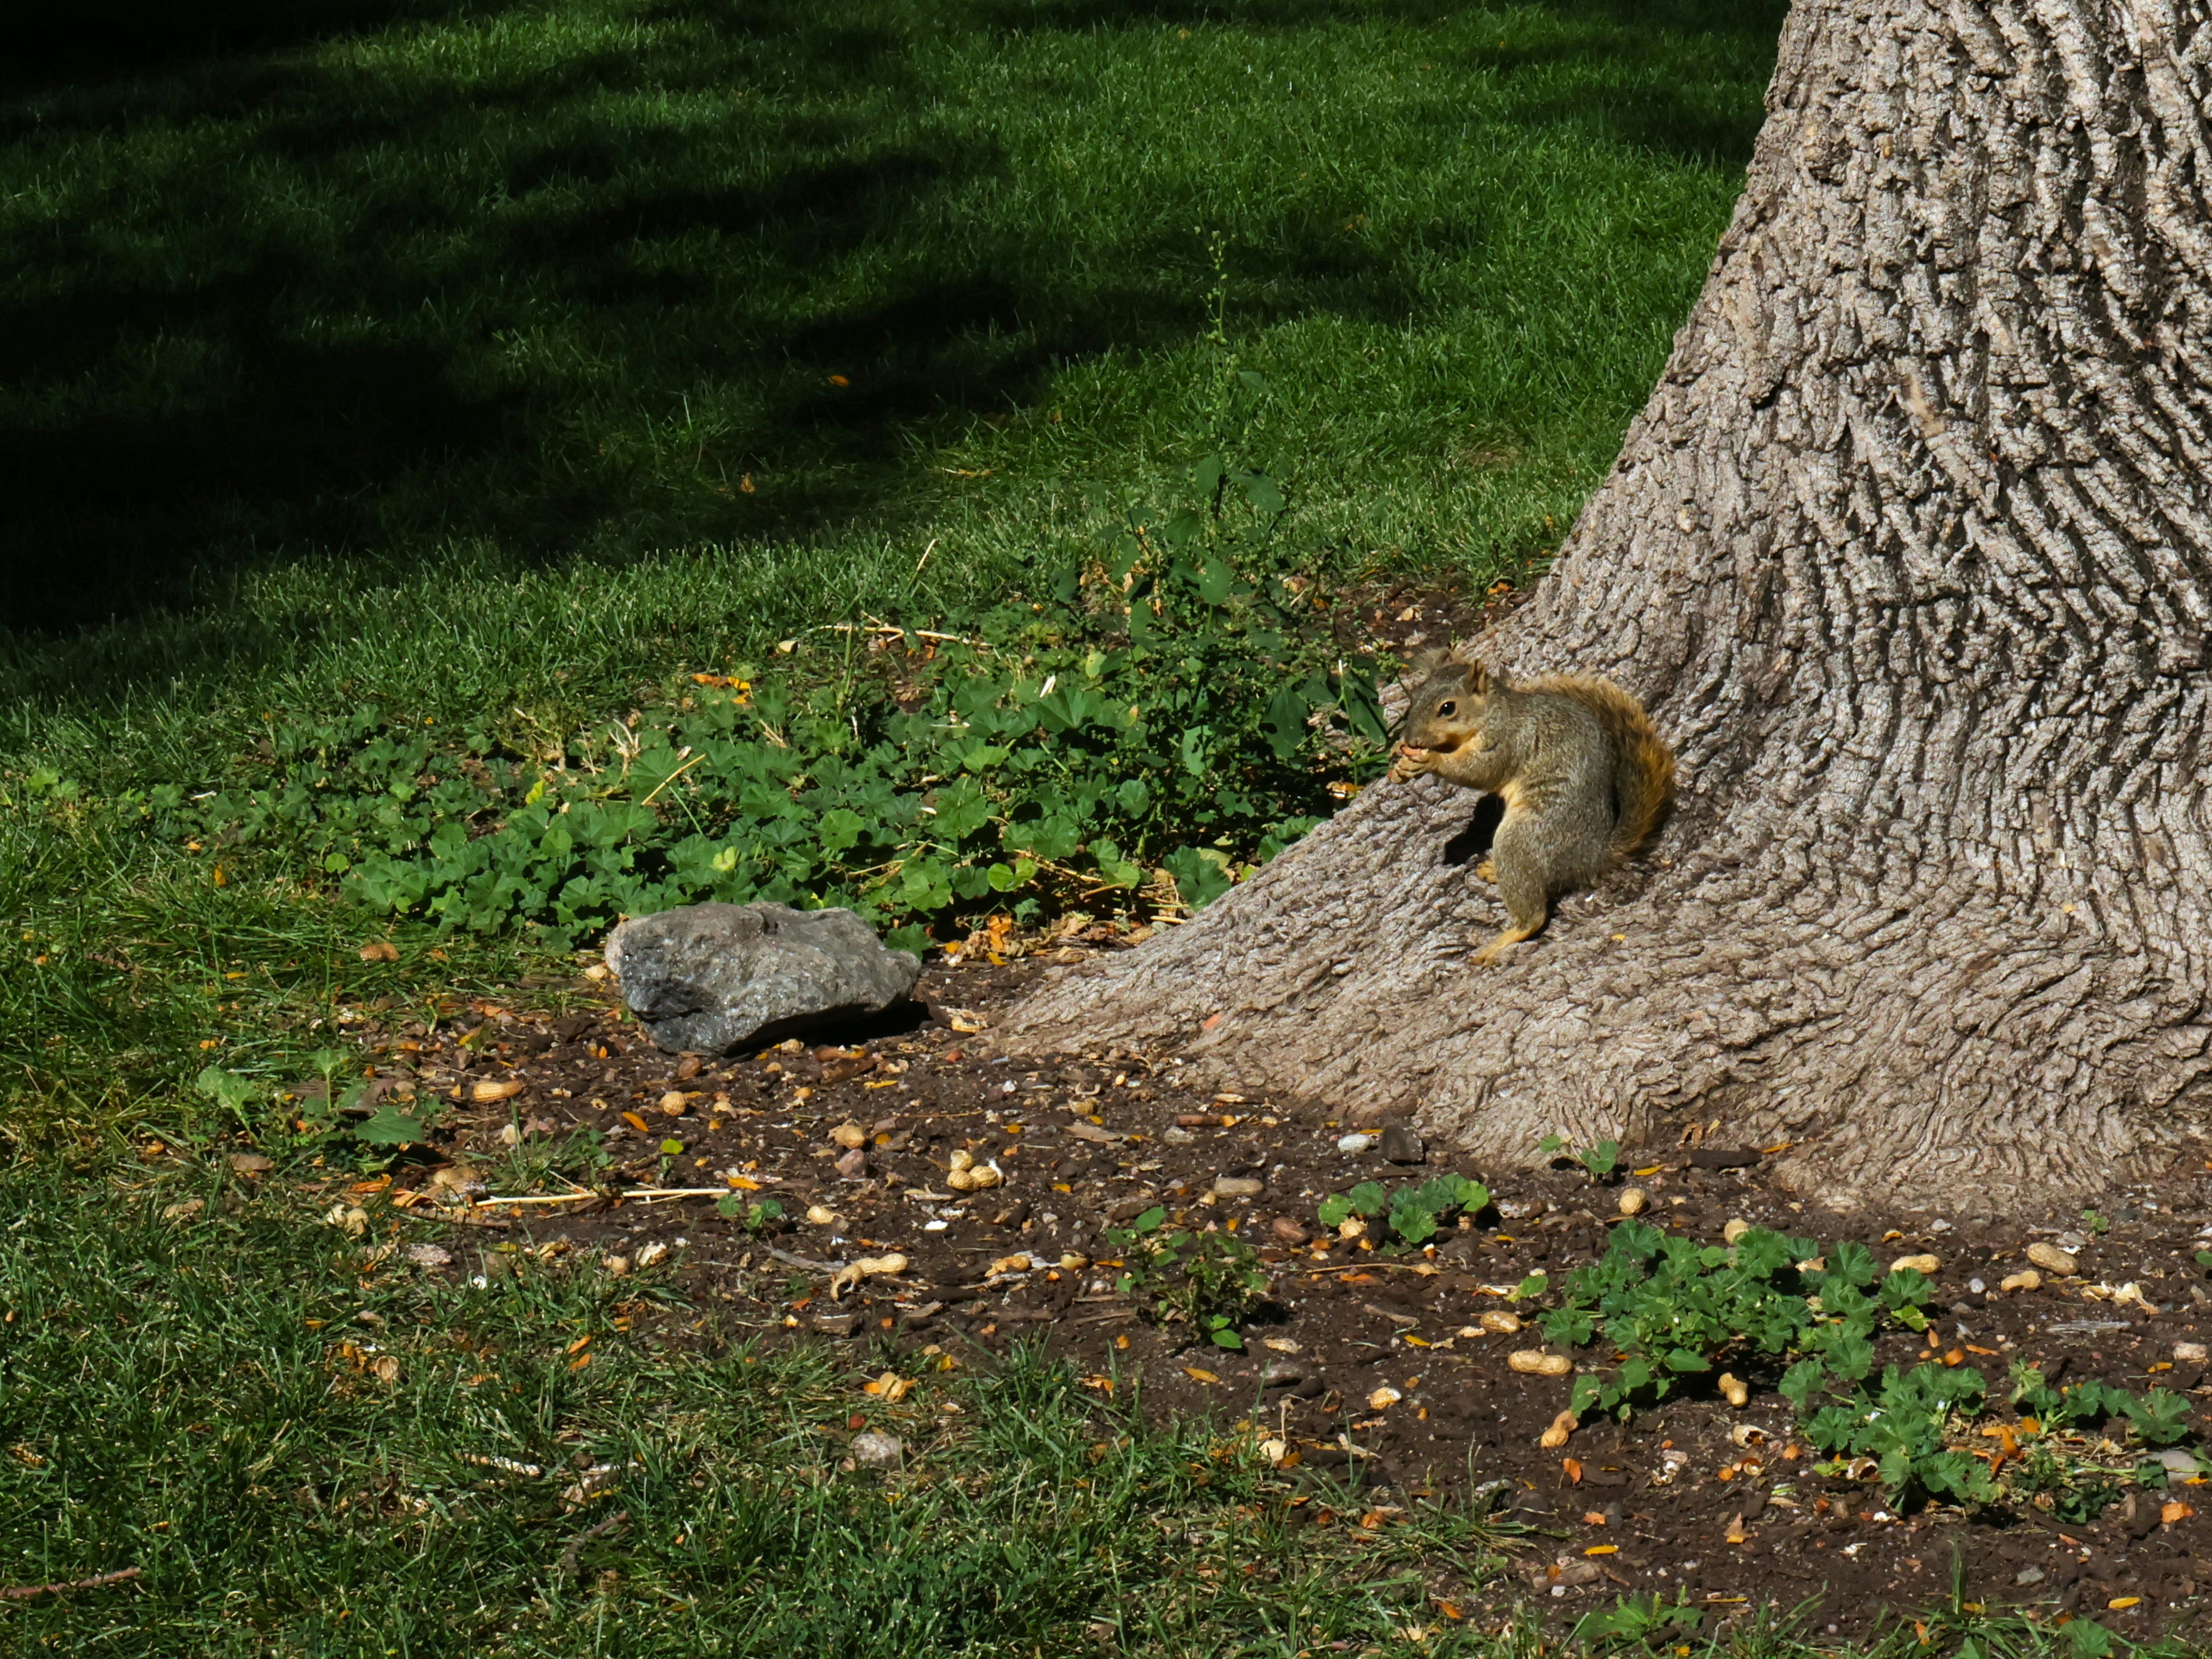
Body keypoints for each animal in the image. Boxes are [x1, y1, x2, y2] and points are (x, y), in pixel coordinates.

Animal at [1389, 656, 1674, 964]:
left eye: (1447, 708)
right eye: (1415, 696)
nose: (1411, 739)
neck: (1492, 713)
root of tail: (1592, 855)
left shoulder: (1507, 741)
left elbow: (1479, 772)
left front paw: (1432, 760)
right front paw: (1399, 758)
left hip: (1526, 836)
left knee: (1535, 913)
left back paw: (1498, 942)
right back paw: (1494, 870)